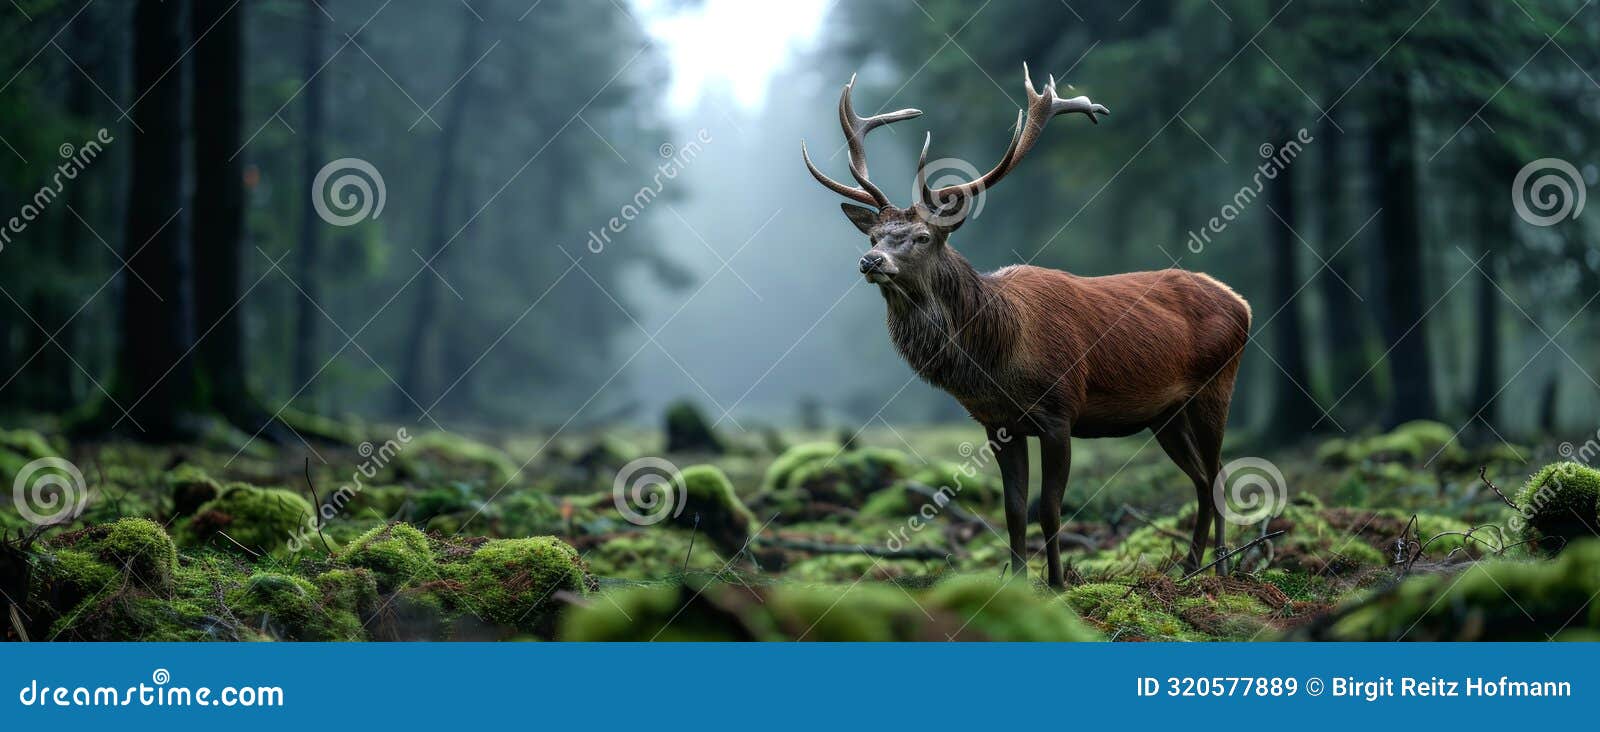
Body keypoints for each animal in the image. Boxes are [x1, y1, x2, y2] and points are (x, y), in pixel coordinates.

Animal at [801, 67, 1251, 587]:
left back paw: (1221, 568)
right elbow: (1014, 510)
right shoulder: (999, 424)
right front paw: (1016, 583)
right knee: (1200, 478)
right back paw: (1191, 568)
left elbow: (1050, 510)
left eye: (922, 236)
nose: (871, 260)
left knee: (1219, 475)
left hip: (1217, 385)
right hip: (1166, 414)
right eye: (875, 235)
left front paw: (1057, 584)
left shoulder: (1061, 413)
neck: (998, 354)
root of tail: (1242, 303)